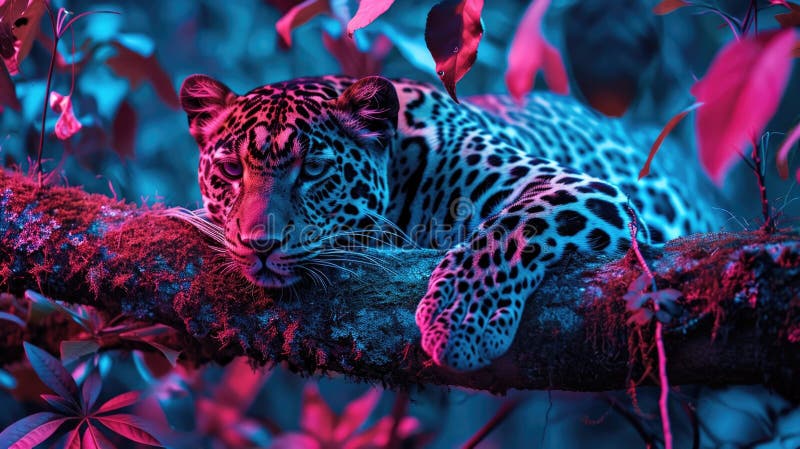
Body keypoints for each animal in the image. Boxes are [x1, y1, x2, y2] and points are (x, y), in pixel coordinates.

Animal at [178, 74, 721, 371]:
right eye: (231, 170)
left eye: (312, 169)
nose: (260, 244)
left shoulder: (581, 188)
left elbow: (509, 227)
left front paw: (460, 320)